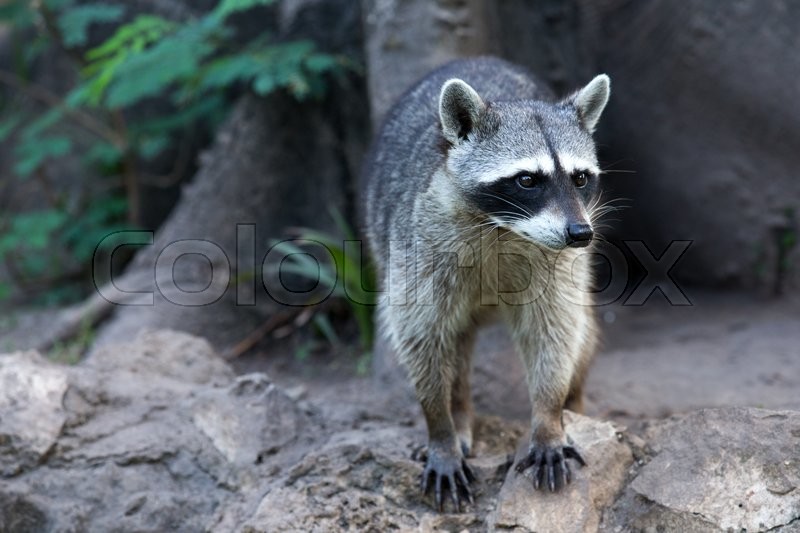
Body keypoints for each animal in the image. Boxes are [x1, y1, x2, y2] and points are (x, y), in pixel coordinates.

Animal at [363, 57, 610, 511]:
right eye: (528, 180)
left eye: (580, 178)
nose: (581, 234)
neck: (504, 228)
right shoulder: (419, 249)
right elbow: (419, 337)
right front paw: (439, 426)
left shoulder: (559, 266)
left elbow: (555, 331)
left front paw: (548, 417)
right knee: (453, 344)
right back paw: (458, 411)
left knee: (582, 334)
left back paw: (573, 403)